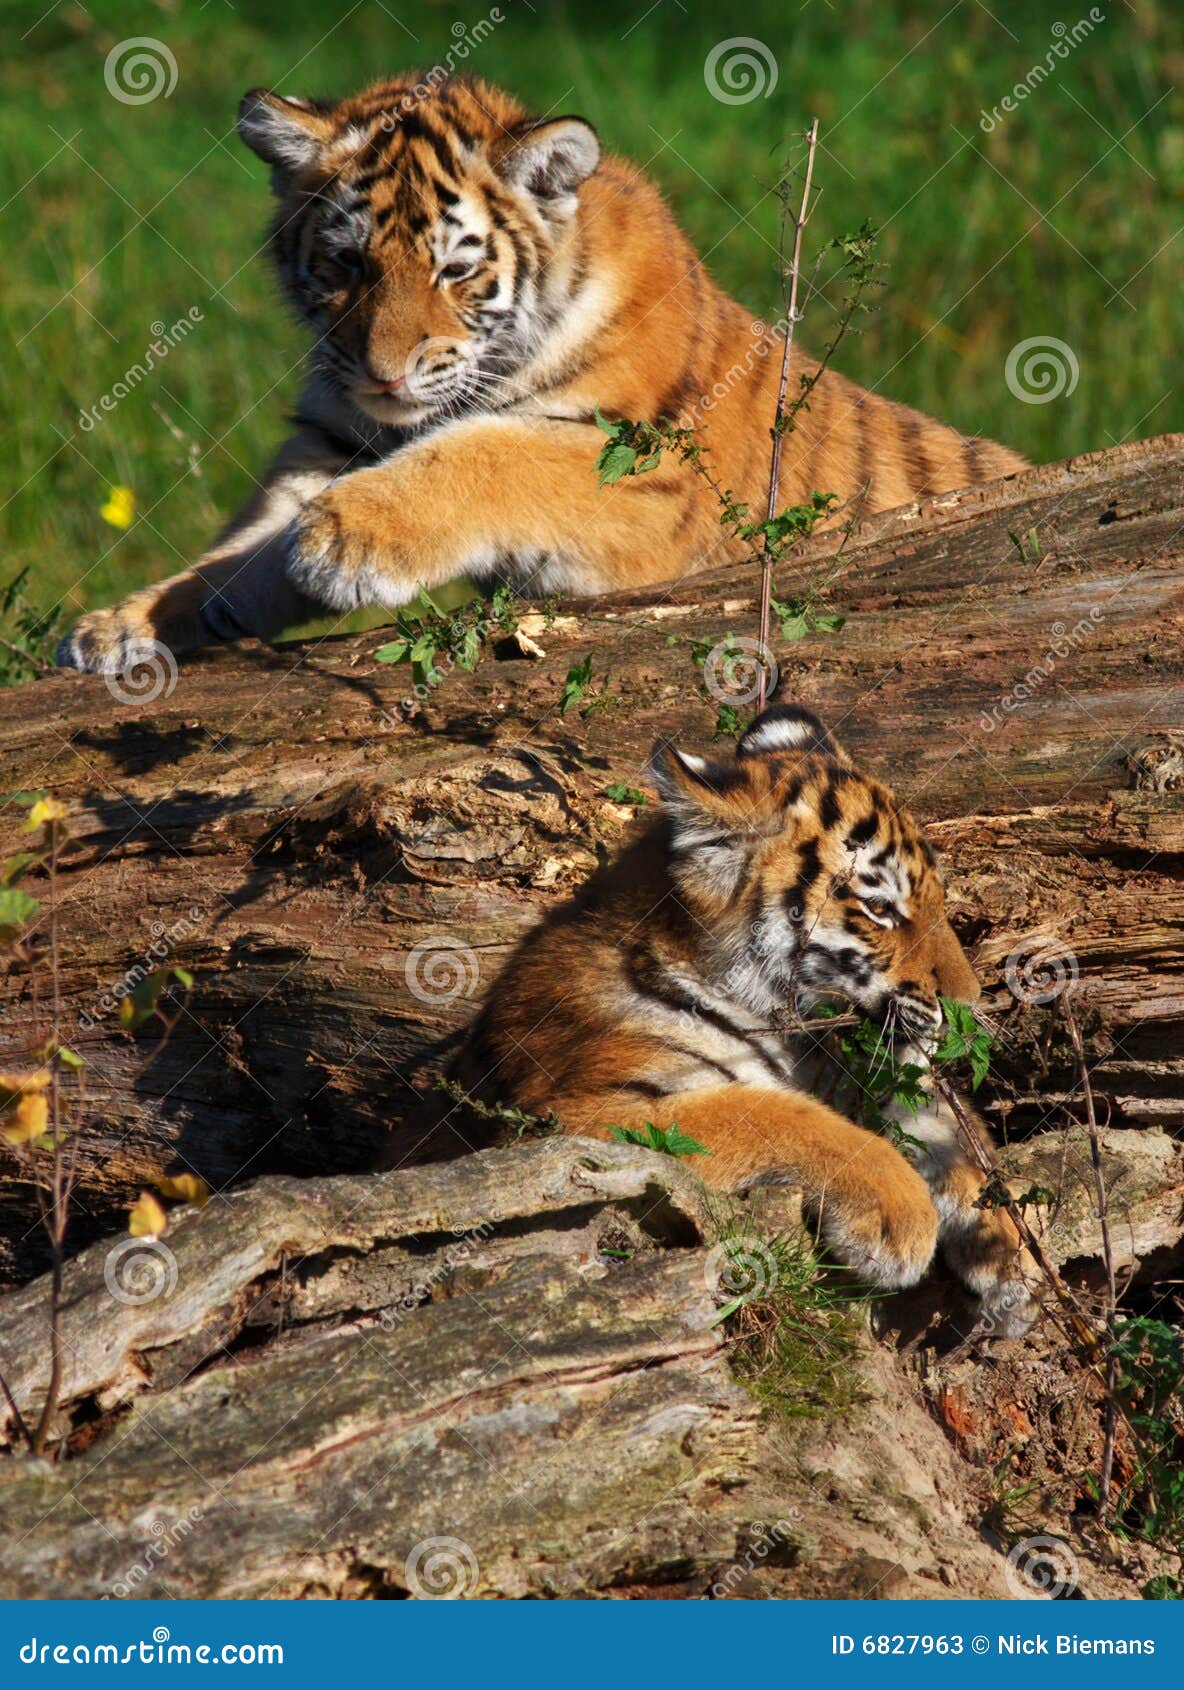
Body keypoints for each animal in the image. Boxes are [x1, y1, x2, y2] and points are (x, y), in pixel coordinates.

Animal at [58, 74, 1029, 675]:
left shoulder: (655, 474)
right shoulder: (332, 437)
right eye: (346, 263)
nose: (381, 376)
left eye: (454, 270)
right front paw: (123, 627)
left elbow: (491, 451)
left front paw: (346, 536)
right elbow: (243, 548)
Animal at [451, 702, 1036, 1337]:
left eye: (936, 897)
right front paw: (899, 1211)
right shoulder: (575, 1117)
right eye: (879, 907)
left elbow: (954, 1131)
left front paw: (1013, 1251)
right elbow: (774, 1112)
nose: (969, 1003)